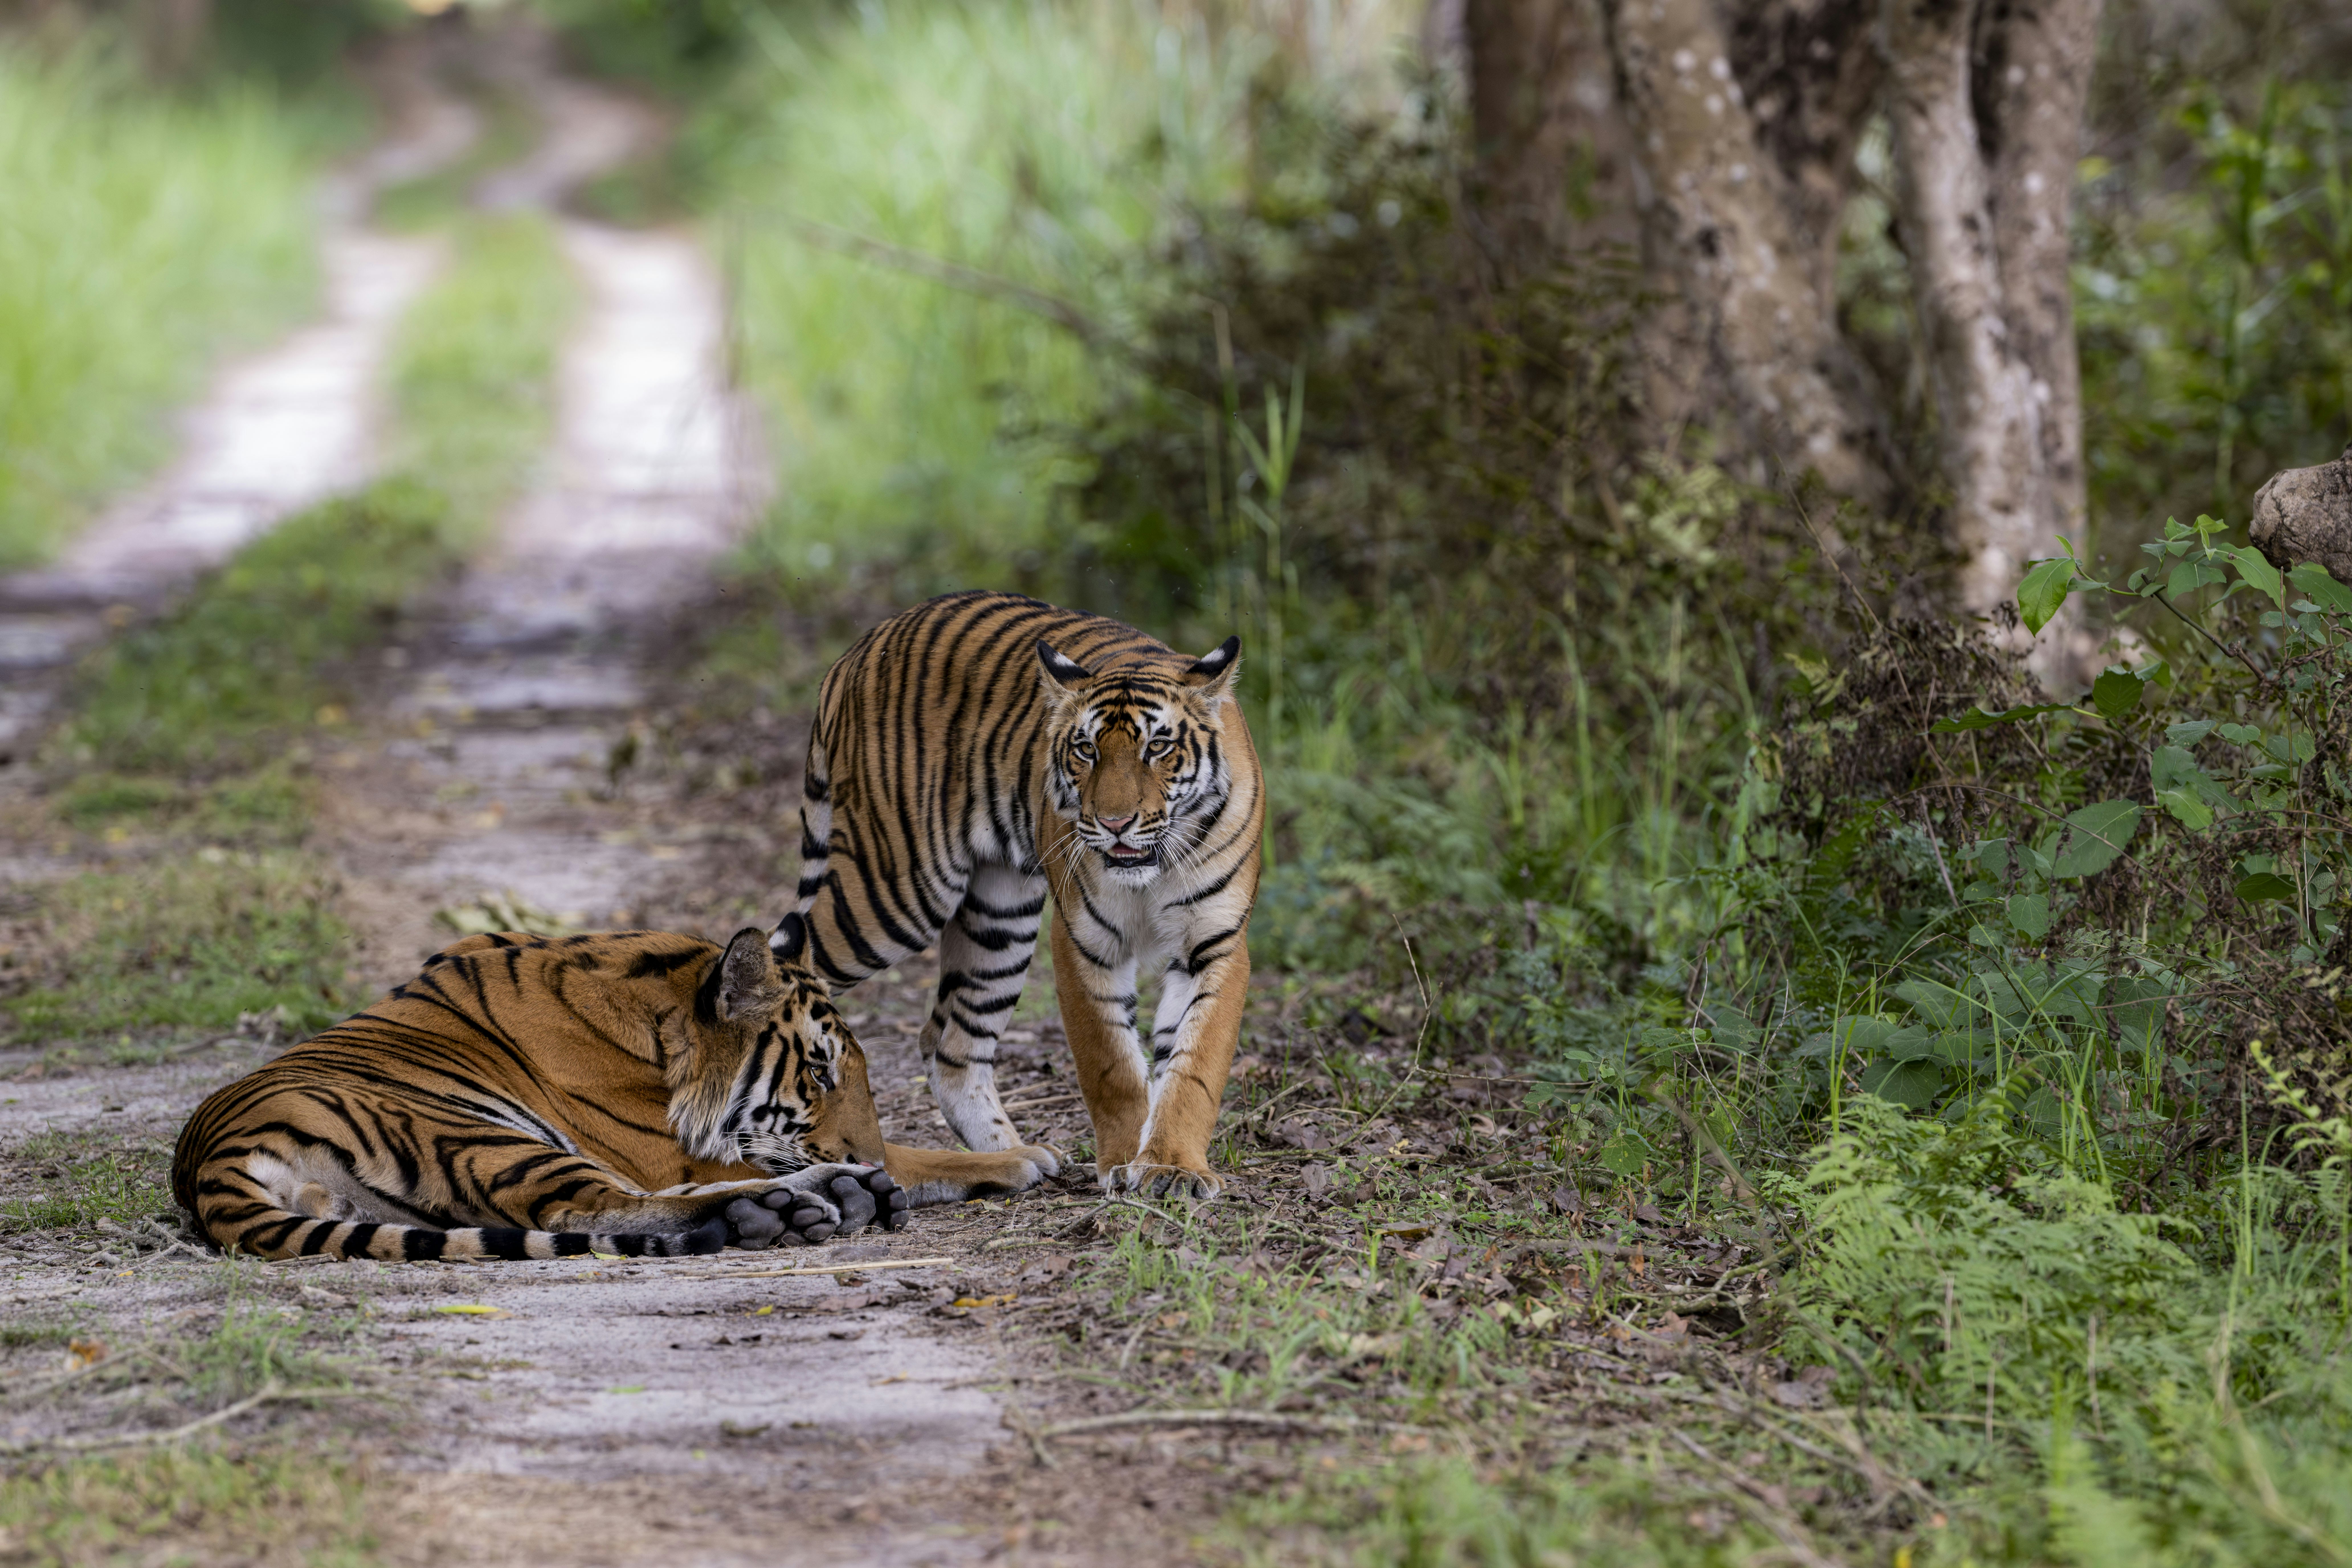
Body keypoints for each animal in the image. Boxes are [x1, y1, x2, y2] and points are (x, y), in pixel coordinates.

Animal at [171, 920, 1061, 1261]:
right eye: (817, 1072)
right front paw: (1018, 1158)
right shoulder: (674, 1152)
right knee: (595, 1206)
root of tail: (209, 1160)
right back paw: (814, 1200)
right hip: (478, 1131)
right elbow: (902, 1157)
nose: (859, 1149)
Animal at [785, 589, 1263, 1201]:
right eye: (1086, 748)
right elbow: (1111, 1063)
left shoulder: (1215, 940)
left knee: (951, 1045)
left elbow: (1193, 1064)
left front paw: (1170, 1167)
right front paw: (1122, 1162)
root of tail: (858, 650)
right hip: (892, 894)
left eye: (1159, 747)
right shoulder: (1083, 939)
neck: (1152, 868)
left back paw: (1009, 1156)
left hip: (998, 914)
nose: (1114, 823)